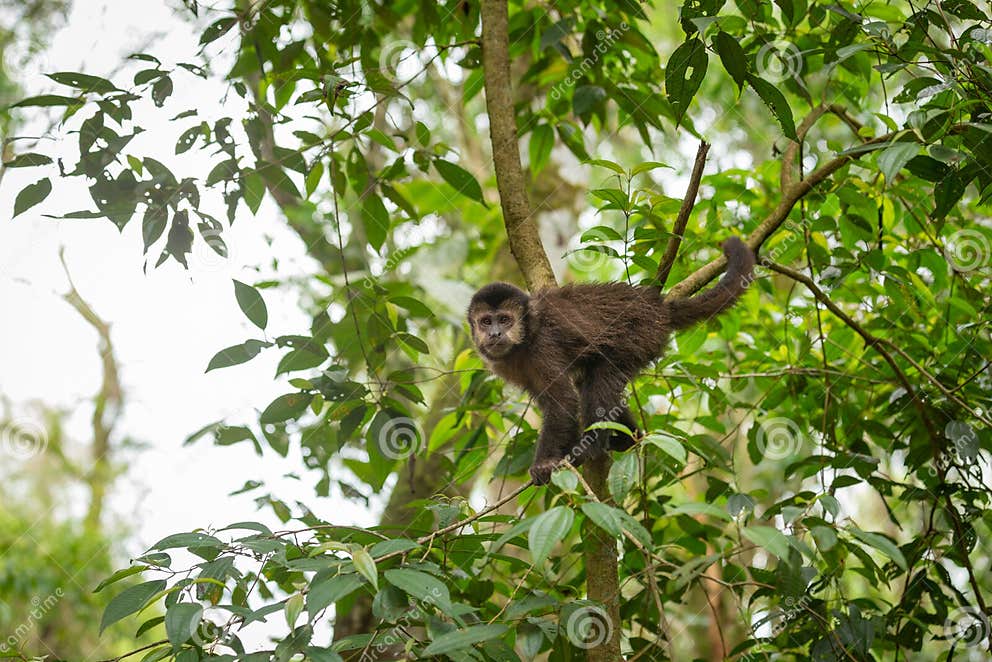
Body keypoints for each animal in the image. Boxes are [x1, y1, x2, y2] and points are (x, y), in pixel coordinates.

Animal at [467, 237, 755, 485]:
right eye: (486, 322)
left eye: (505, 320)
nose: (495, 334)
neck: (524, 340)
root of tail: (658, 308)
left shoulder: (542, 349)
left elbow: (563, 402)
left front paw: (545, 463)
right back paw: (632, 437)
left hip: (640, 335)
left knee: (601, 379)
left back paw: (593, 447)